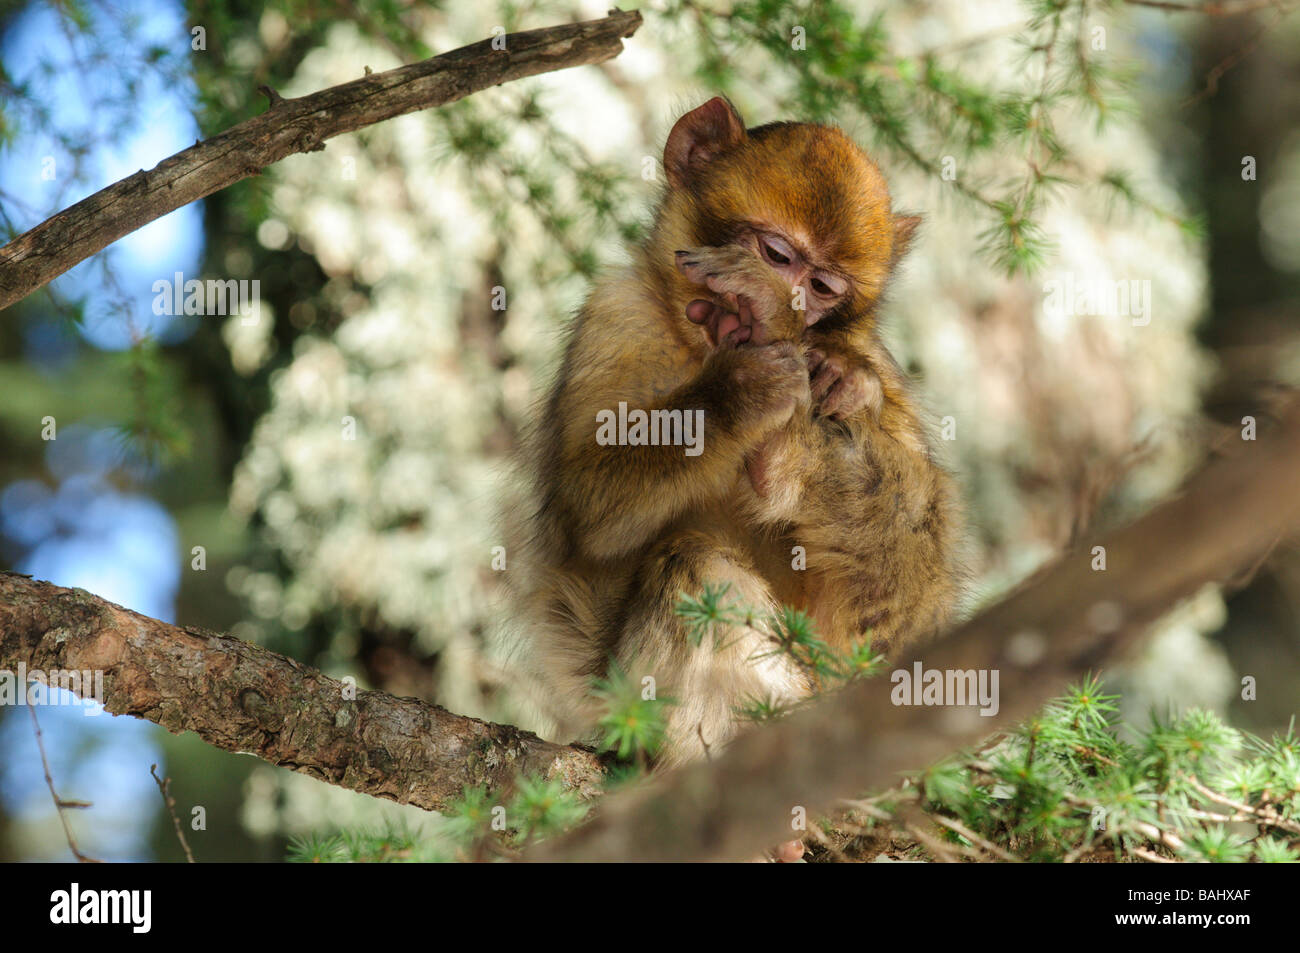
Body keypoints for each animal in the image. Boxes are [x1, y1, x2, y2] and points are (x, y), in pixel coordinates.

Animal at [503, 97, 964, 775]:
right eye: (776, 253)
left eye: (821, 288)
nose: (780, 306)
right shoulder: (615, 313)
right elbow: (590, 509)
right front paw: (739, 391)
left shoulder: (880, 368)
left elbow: (910, 613)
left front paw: (814, 360)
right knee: (694, 567)